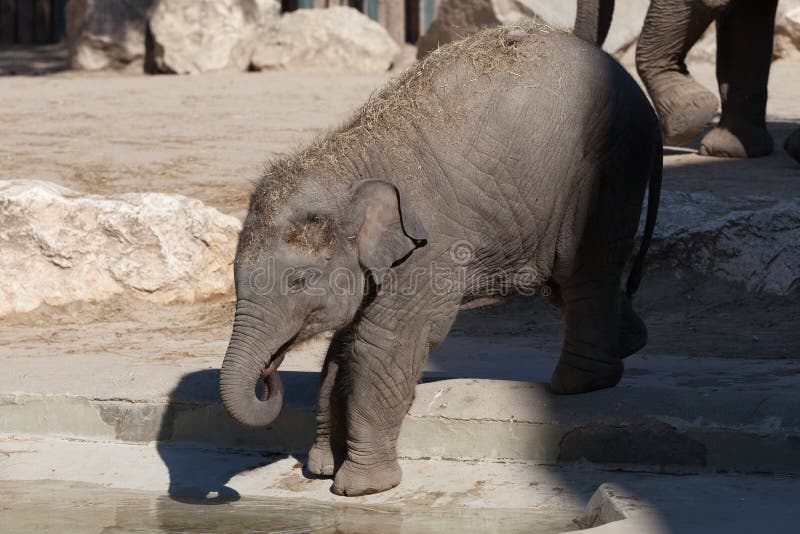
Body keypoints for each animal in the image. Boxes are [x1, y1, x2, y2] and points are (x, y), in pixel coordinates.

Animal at [219, 22, 662, 496]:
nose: (269, 372)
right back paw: (629, 342)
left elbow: (384, 343)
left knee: (584, 272)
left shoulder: (426, 248)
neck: (348, 161)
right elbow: (345, 346)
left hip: (609, 167)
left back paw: (577, 385)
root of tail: (646, 107)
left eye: (300, 280)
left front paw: (361, 488)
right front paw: (320, 468)